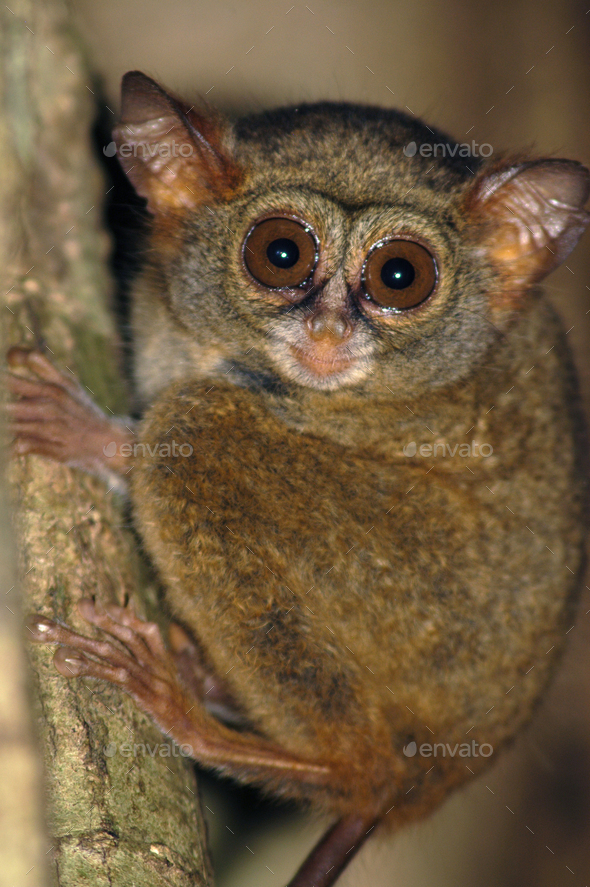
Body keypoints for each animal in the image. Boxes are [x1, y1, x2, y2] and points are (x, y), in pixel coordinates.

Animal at [6, 71, 590, 887]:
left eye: (400, 276)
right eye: (280, 254)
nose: (328, 331)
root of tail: (442, 775)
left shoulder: (390, 421)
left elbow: (169, 440)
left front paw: (83, 429)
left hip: (435, 596)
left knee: (199, 427)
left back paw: (207, 716)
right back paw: (202, 675)